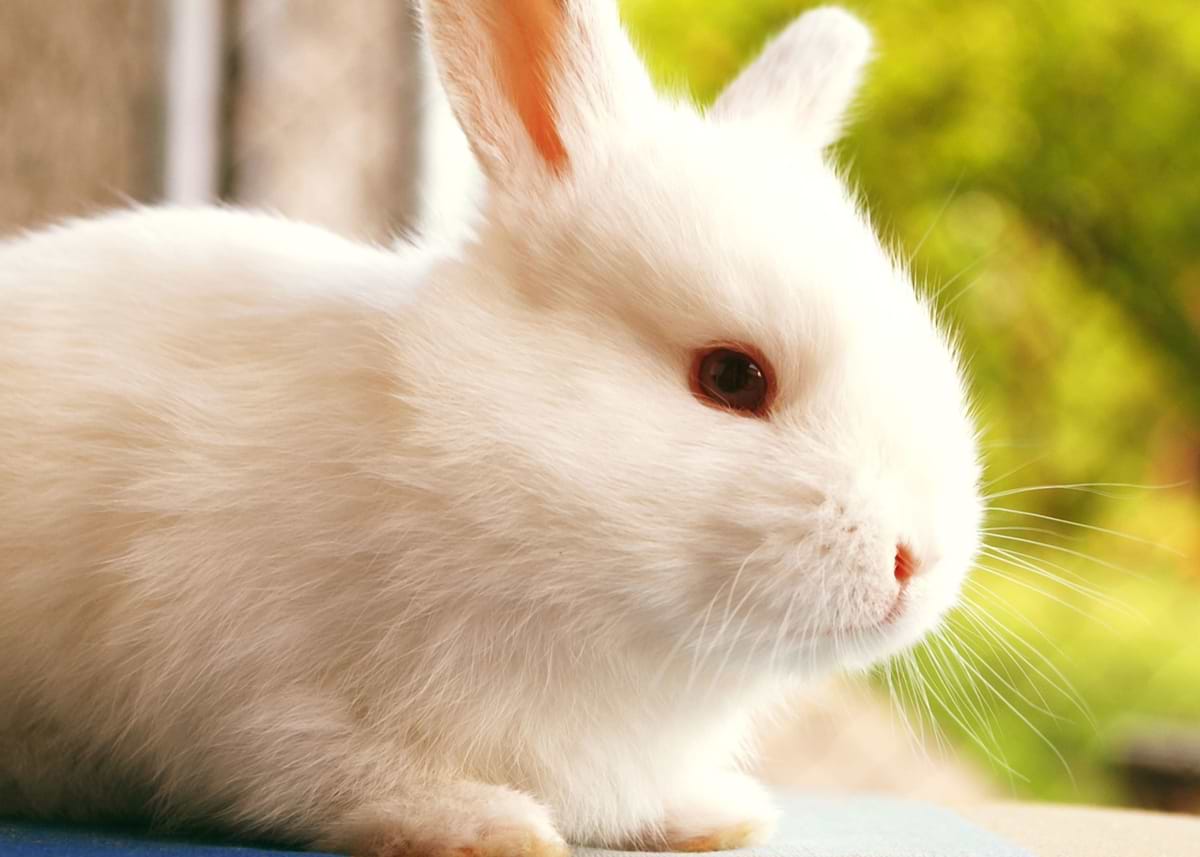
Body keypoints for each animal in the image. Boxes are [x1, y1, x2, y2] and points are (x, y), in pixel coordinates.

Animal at [0, 0, 983, 855]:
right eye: (732, 377)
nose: (919, 561)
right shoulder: (252, 692)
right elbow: (326, 774)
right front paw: (482, 824)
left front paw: (712, 814)